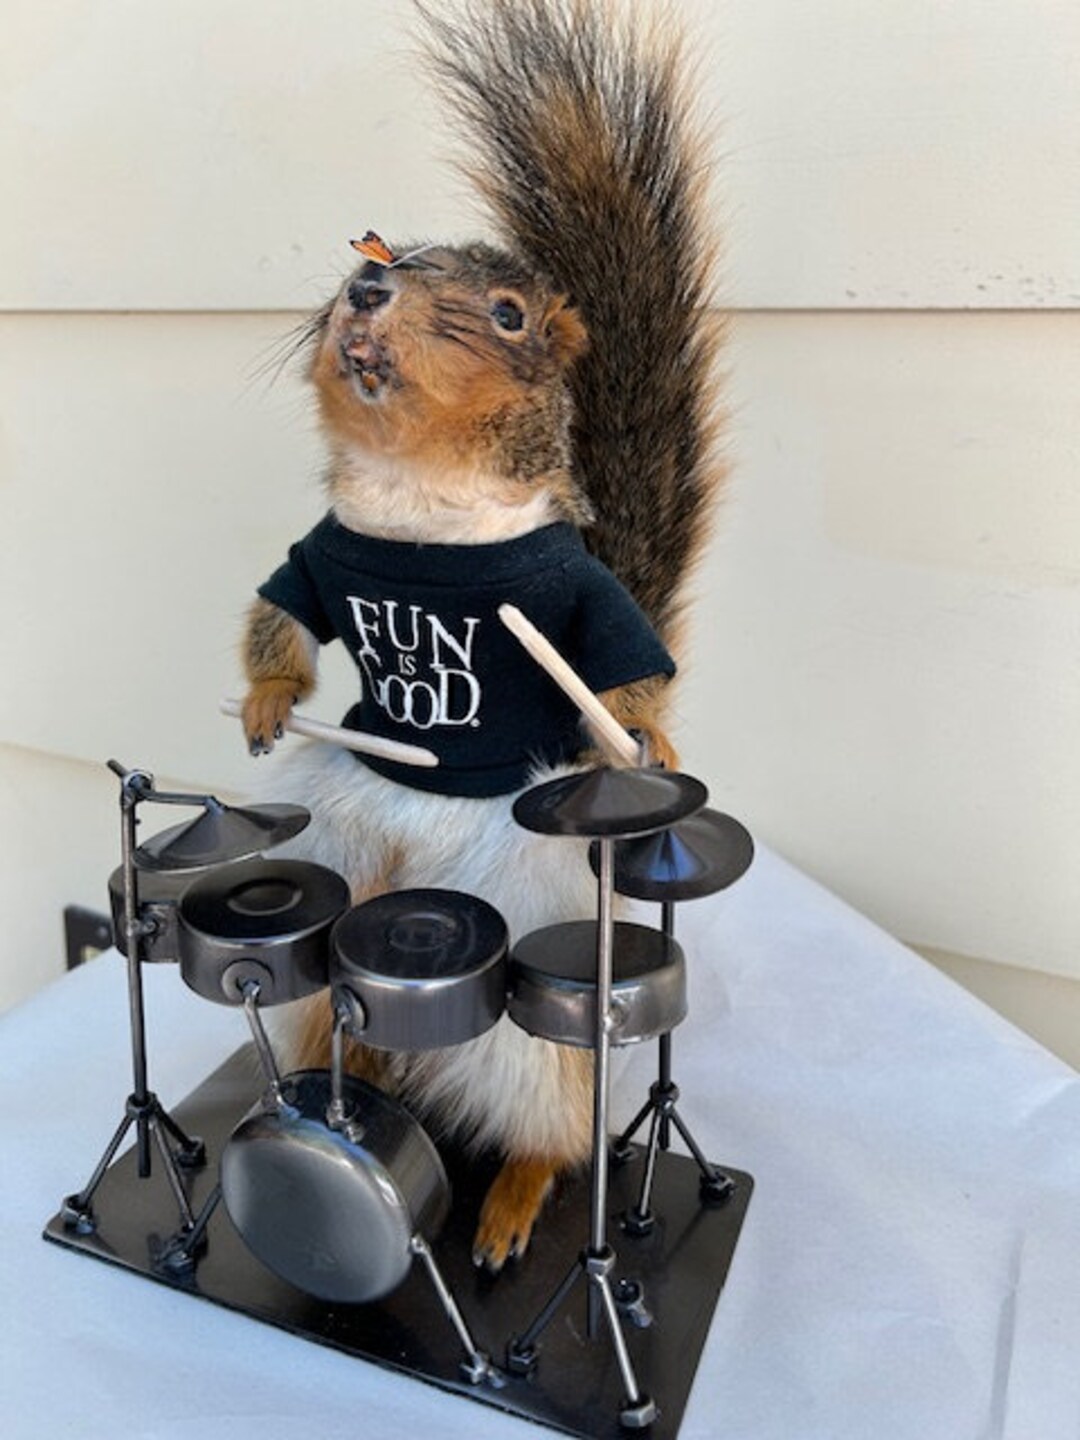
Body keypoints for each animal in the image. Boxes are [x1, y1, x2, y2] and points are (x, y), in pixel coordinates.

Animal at [239, 0, 725, 1273]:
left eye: (506, 316)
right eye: (380, 257)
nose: (367, 293)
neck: (417, 500)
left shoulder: (565, 588)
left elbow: (627, 665)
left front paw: (645, 742)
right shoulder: (324, 557)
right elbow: (278, 615)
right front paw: (264, 702)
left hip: (530, 1018)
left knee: (548, 1123)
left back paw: (511, 1205)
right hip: (334, 902)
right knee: (338, 1027)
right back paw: (345, 1070)